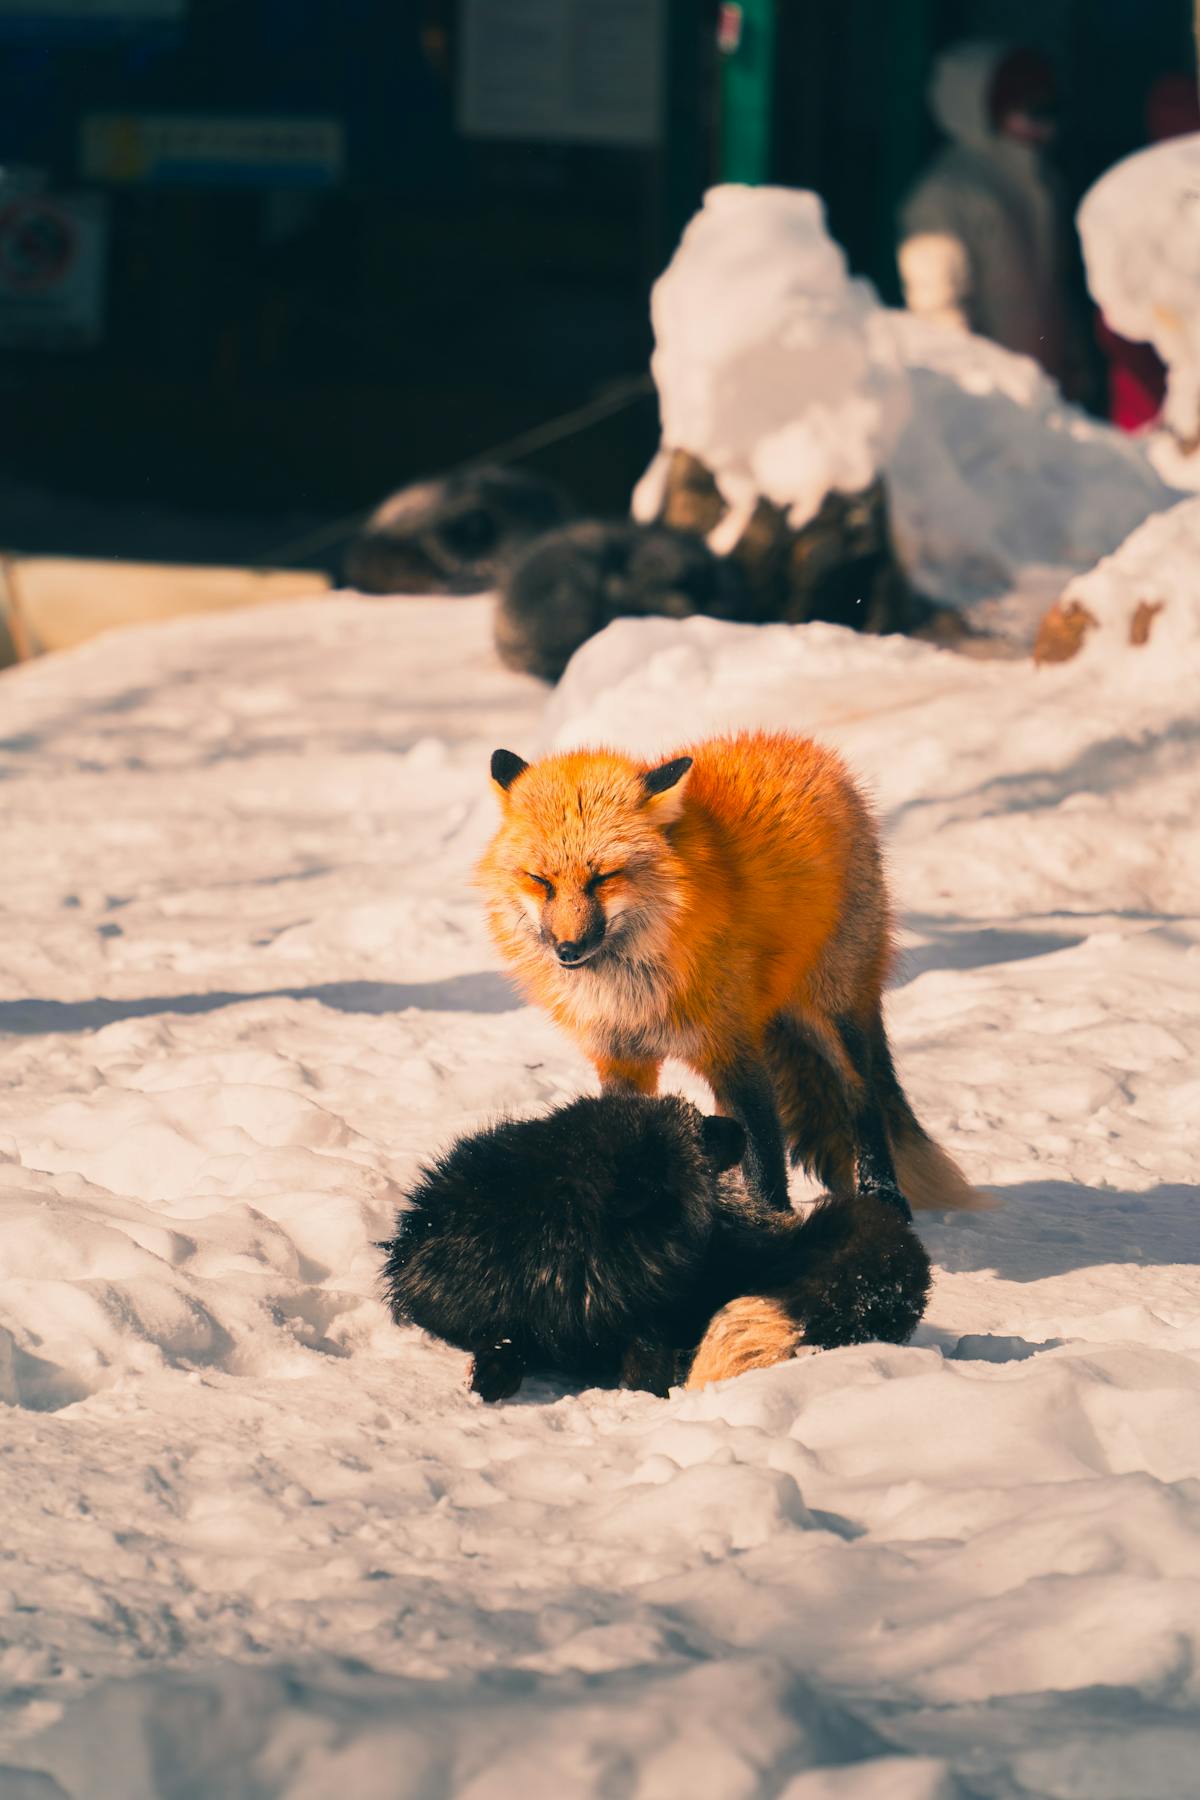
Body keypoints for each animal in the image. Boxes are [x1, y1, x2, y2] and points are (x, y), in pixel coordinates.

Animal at [477, 729, 979, 1220]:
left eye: (604, 878)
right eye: (541, 881)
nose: (568, 950)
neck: (633, 988)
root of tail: (801, 746)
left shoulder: (734, 1049)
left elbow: (765, 1160)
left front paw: (768, 1224)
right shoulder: (621, 1057)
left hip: (834, 1011)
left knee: (865, 1102)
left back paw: (884, 1195)